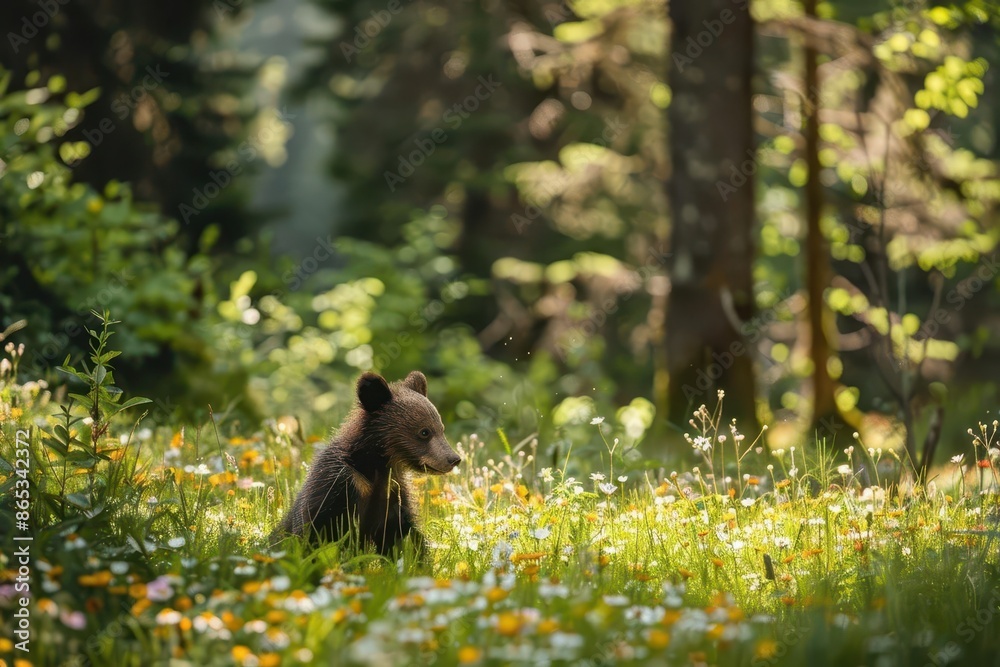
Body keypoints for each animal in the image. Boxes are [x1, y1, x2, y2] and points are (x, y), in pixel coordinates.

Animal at [272, 370, 461, 555]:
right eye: (424, 432)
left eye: (441, 428)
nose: (454, 459)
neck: (376, 467)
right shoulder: (339, 486)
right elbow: (317, 531)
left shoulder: (394, 493)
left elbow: (405, 537)